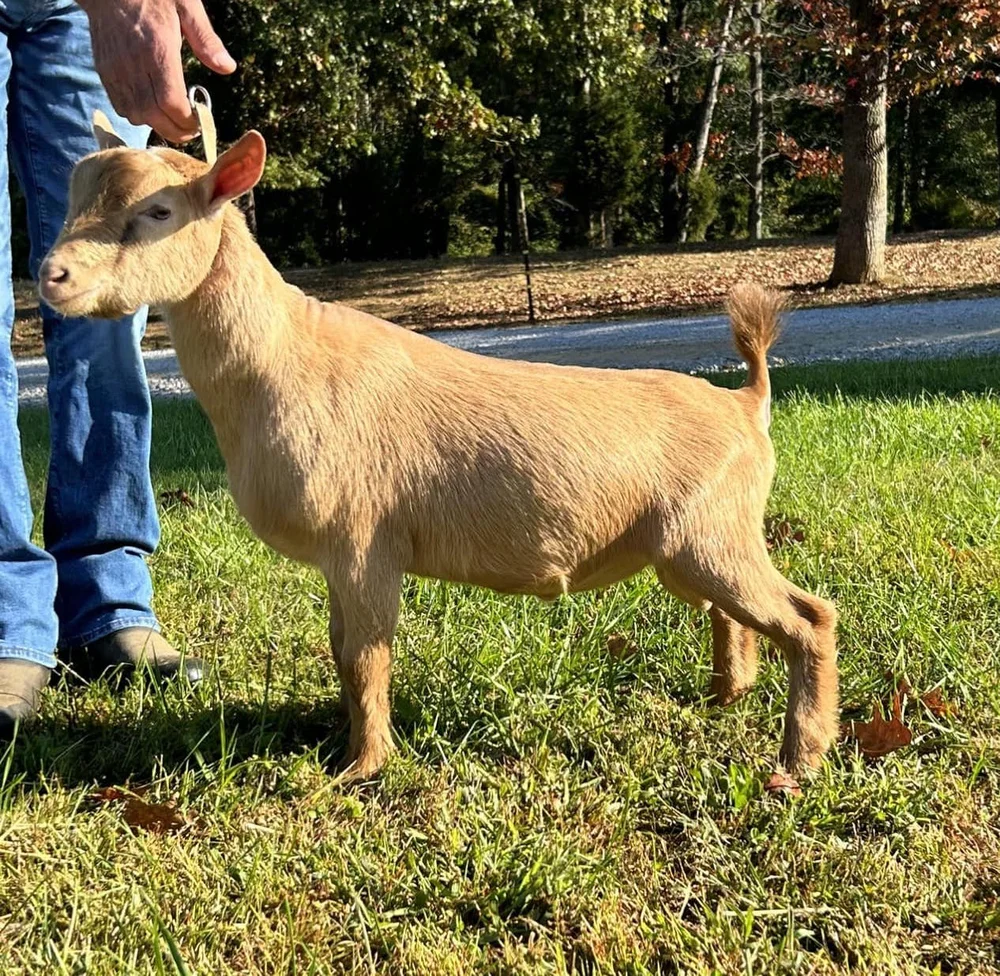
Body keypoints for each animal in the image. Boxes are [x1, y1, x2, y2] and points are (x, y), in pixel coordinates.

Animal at [39, 121, 839, 780]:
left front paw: (361, 769)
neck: (288, 360)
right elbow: (341, 649)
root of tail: (746, 403)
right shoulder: (342, 558)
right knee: (731, 617)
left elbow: (364, 655)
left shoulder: (364, 540)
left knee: (810, 618)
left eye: (159, 212)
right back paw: (723, 699)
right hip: (684, 545)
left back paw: (796, 763)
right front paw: (347, 749)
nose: (53, 276)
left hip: (713, 532)